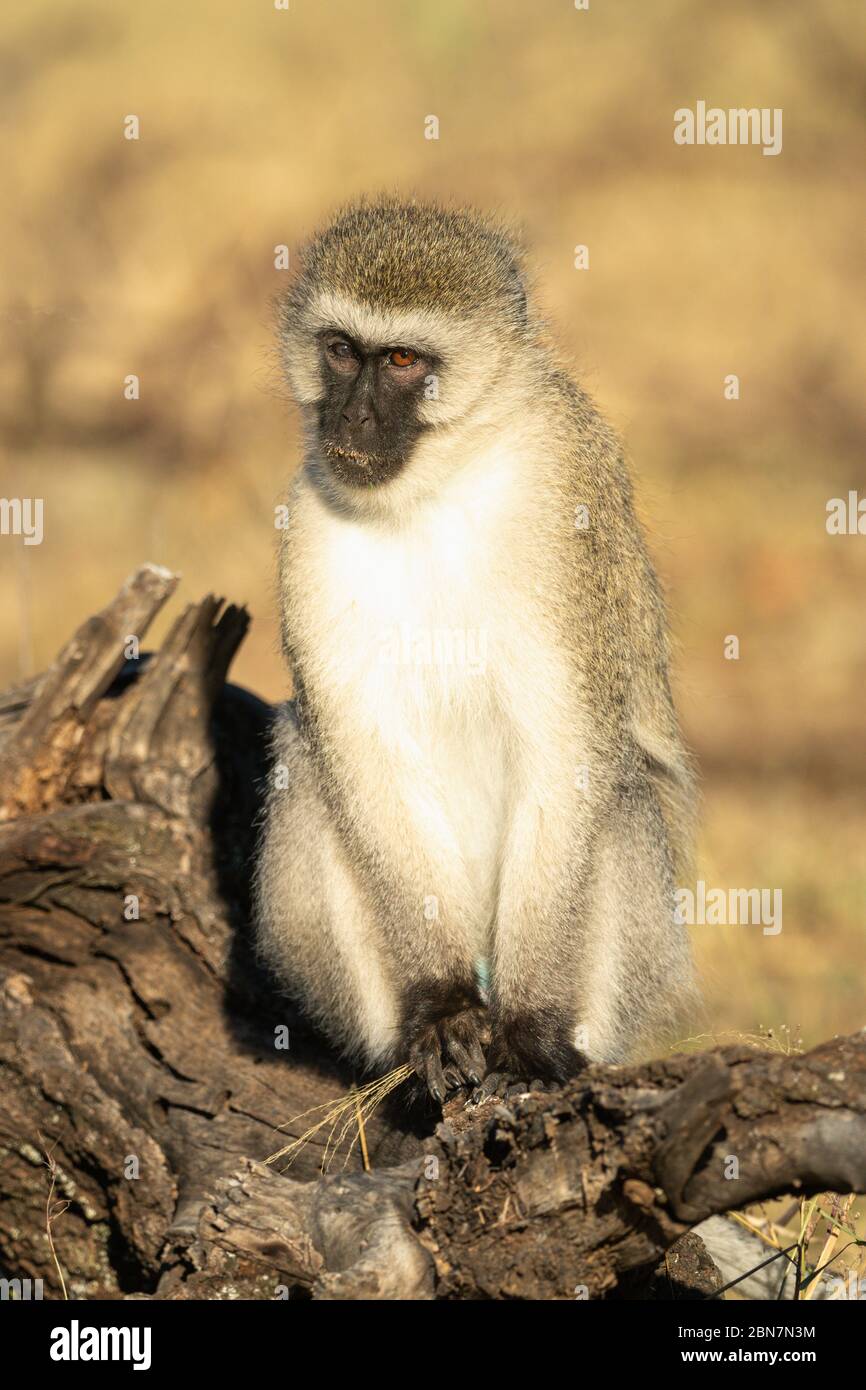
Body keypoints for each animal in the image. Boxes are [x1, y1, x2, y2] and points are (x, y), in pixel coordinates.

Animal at [254, 195, 698, 1106]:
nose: (351, 419)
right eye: (341, 351)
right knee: (307, 759)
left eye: (401, 361)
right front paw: (442, 1009)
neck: (437, 482)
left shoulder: (565, 489)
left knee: (621, 786)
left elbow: (570, 747)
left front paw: (530, 1028)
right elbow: (359, 751)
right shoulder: (311, 516)